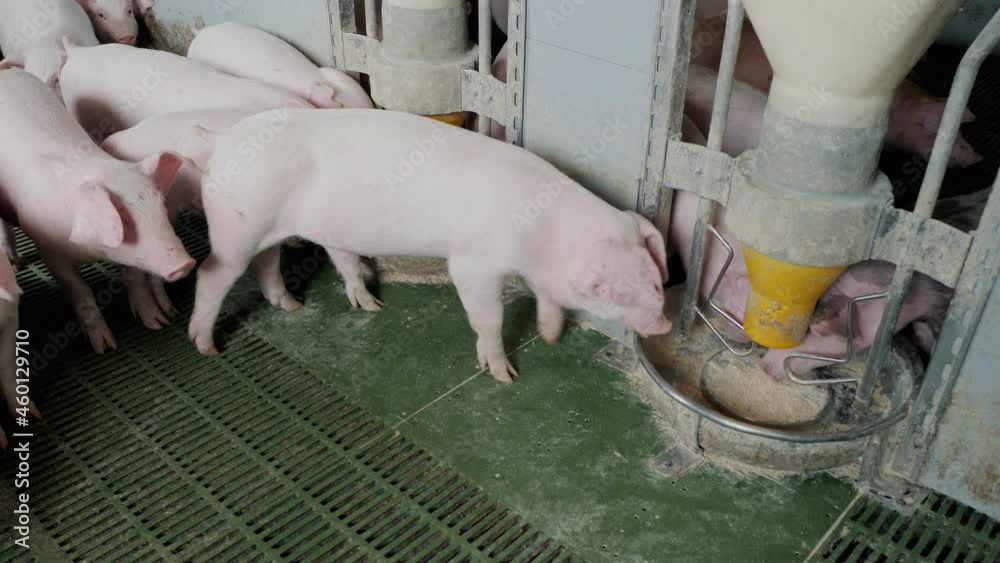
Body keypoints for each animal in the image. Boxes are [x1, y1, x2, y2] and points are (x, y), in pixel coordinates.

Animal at [0, 69, 195, 353]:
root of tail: (5, 73)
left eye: (160, 206)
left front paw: (156, 323)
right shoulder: (48, 249)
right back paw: (14, 264)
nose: (185, 263)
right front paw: (106, 347)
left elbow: (135, 279)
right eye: (122, 219)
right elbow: (80, 292)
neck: (90, 251)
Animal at [179, 108, 671, 382]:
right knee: (211, 274)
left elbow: (549, 303)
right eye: (615, 291)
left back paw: (315, 306)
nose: (665, 324)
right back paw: (205, 346)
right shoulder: (473, 263)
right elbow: (488, 318)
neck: (544, 234)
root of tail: (219, 141)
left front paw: (549, 337)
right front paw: (503, 376)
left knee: (274, 261)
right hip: (236, 225)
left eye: (654, 278)